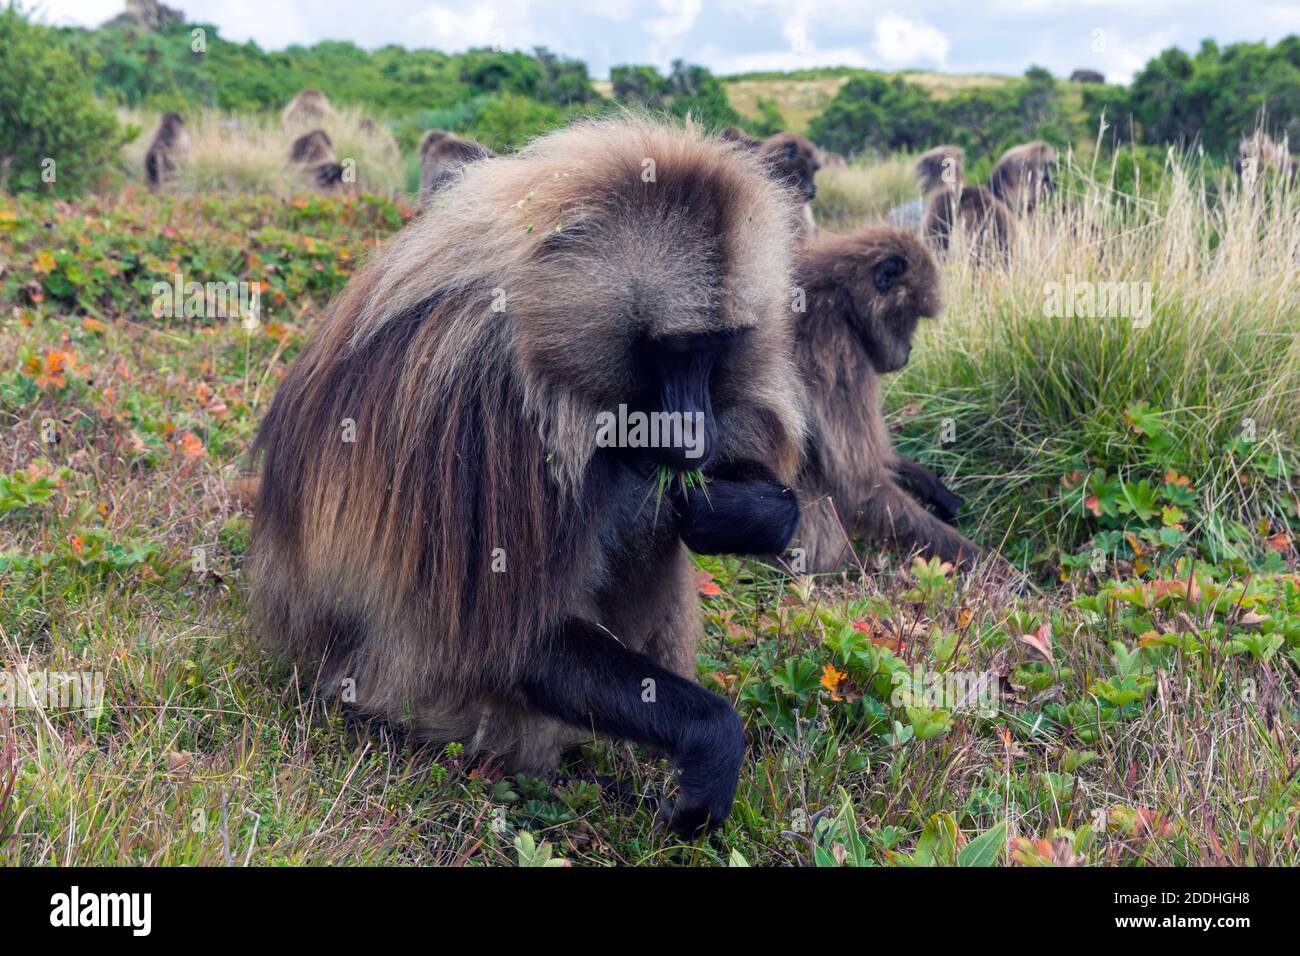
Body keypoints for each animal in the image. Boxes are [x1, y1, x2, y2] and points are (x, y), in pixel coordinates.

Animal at [248, 118, 808, 837]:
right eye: (671, 350)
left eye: (715, 349)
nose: (695, 440)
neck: (536, 325)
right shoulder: (488, 413)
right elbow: (512, 641)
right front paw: (712, 743)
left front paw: (740, 511)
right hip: (422, 700)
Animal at [789, 225, 984, 574]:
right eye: (913, 317)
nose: (909, 350)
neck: (840, 302)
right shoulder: (836, 353)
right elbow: (862, 486)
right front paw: (989, 564)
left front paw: (936, 490)